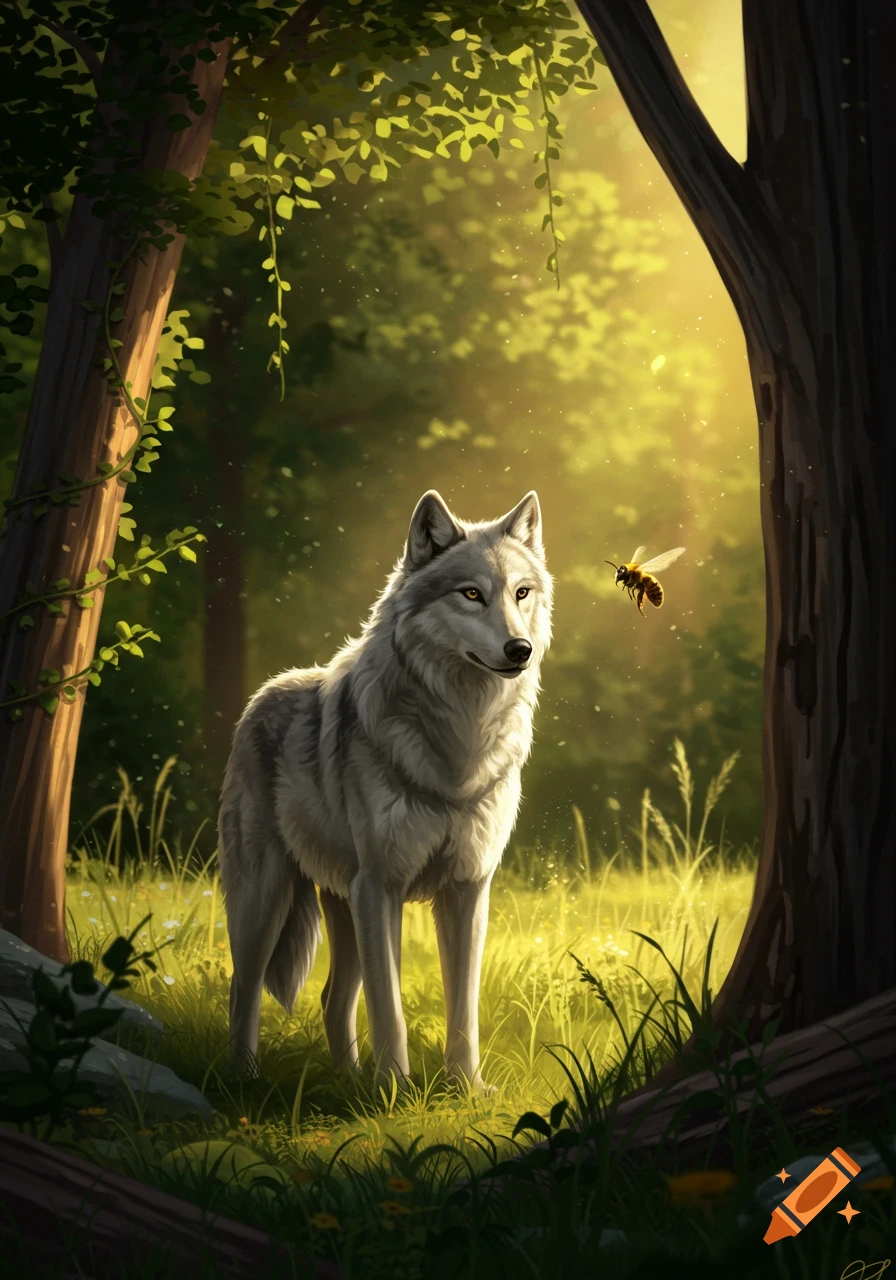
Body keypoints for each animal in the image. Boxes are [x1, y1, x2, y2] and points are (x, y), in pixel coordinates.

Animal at [218, 489, 552, 1089]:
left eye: (521, 593)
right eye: (472, 594)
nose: (520, 649)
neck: (457, 741)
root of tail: (264, 692)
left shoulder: (468, 889)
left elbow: (463, 1005)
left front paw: (466, 1087)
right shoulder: (380, 887)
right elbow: (389, 1005)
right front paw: (394, 1088)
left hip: (341, 905)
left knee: (331, 998)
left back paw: (348, 1080)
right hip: (268, 896)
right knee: (243, 987)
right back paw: (247, 1079)